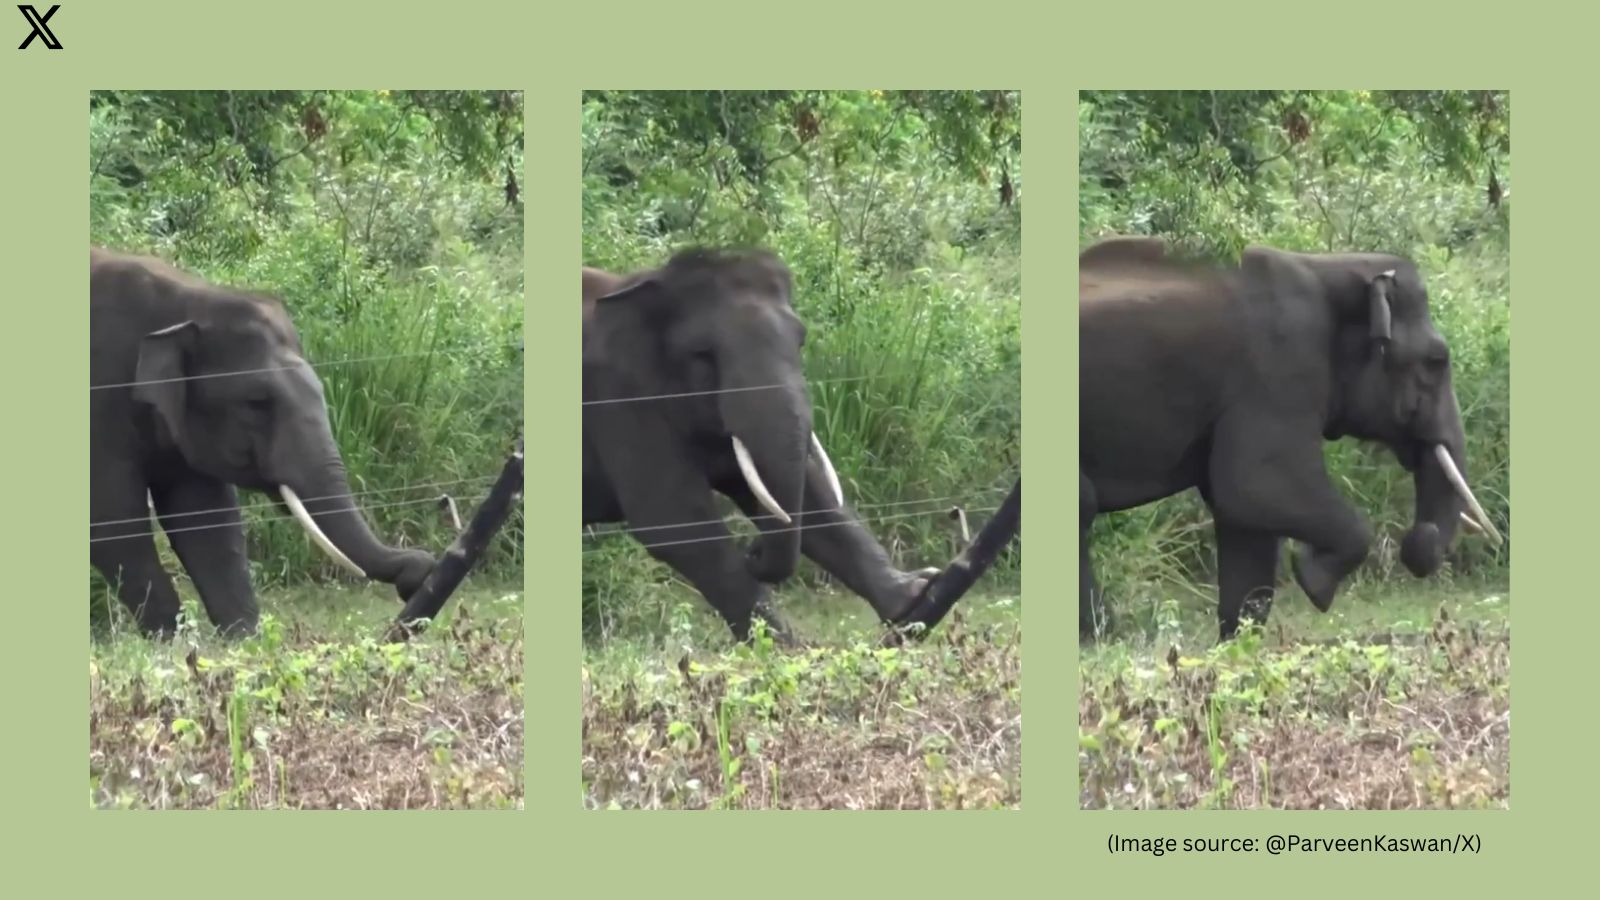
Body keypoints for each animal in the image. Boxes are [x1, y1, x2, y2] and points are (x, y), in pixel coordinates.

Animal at [90, 247, 436, 637]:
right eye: (256, 403)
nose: (419, 569)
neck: (188, 304)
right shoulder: (98, 404)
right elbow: (114, 522)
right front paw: (173, 639)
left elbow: (207, 519)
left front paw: (242, 639)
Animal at [583, 248, 946, 641]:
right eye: (703, 353)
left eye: (800, 341)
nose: (753, 551)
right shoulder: (619, 399)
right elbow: (675, 522)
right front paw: (782, 647)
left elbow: (810, 493)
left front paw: (919, 594)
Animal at [1078, 236, 1502, 641]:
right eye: (1436, 361)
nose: (1418, 539)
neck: (1328, 267)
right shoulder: (1279, 369)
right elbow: (1256, 485)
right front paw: (1313, 581)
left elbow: (1241, 513)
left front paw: (1237, 641)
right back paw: (1102, 637)